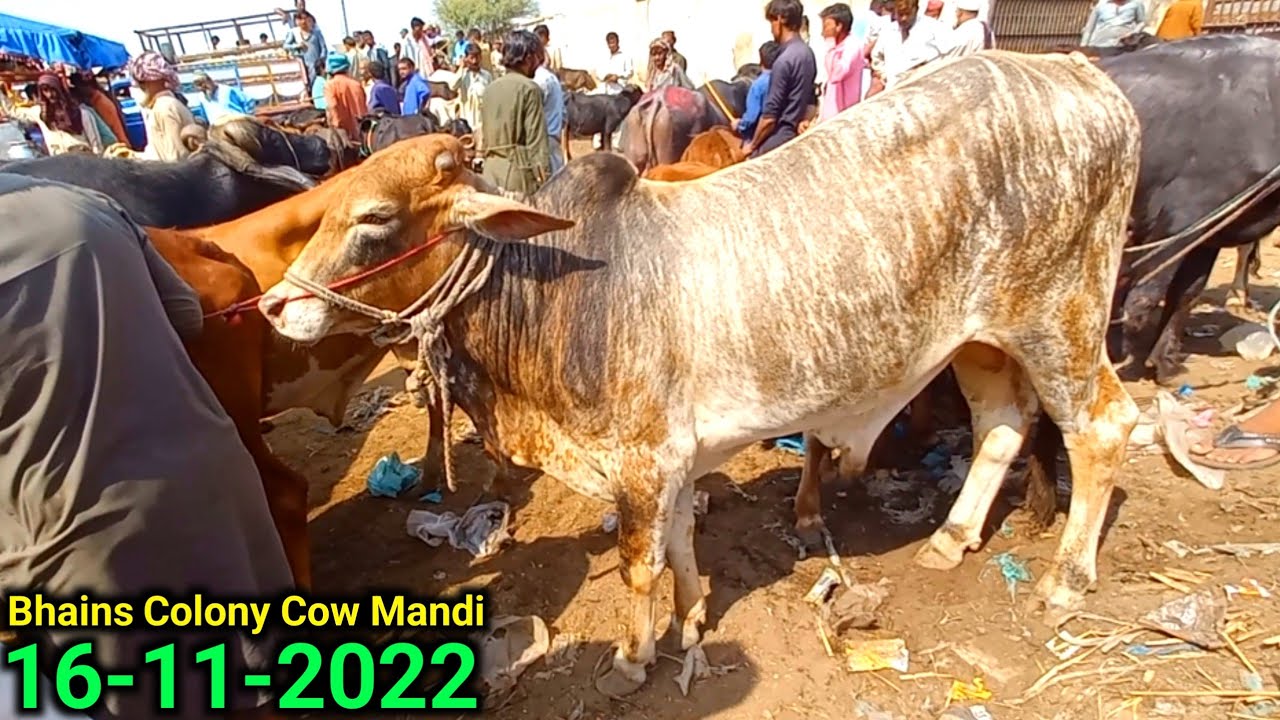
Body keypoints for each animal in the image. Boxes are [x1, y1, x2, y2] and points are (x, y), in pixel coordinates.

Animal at [256, 51, 1142, 696]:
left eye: (376, 219)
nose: (271, 306)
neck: (556, 289)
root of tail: (1082, 75)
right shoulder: (674, 461)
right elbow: (682, 545)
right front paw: (690, 622)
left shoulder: (643, 464)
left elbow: (638, 562)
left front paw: (632, 658)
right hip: (979, 341)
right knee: (1002, 427)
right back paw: (952, 539)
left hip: (1058, 320)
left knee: (1103, 425)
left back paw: (1066, 580)